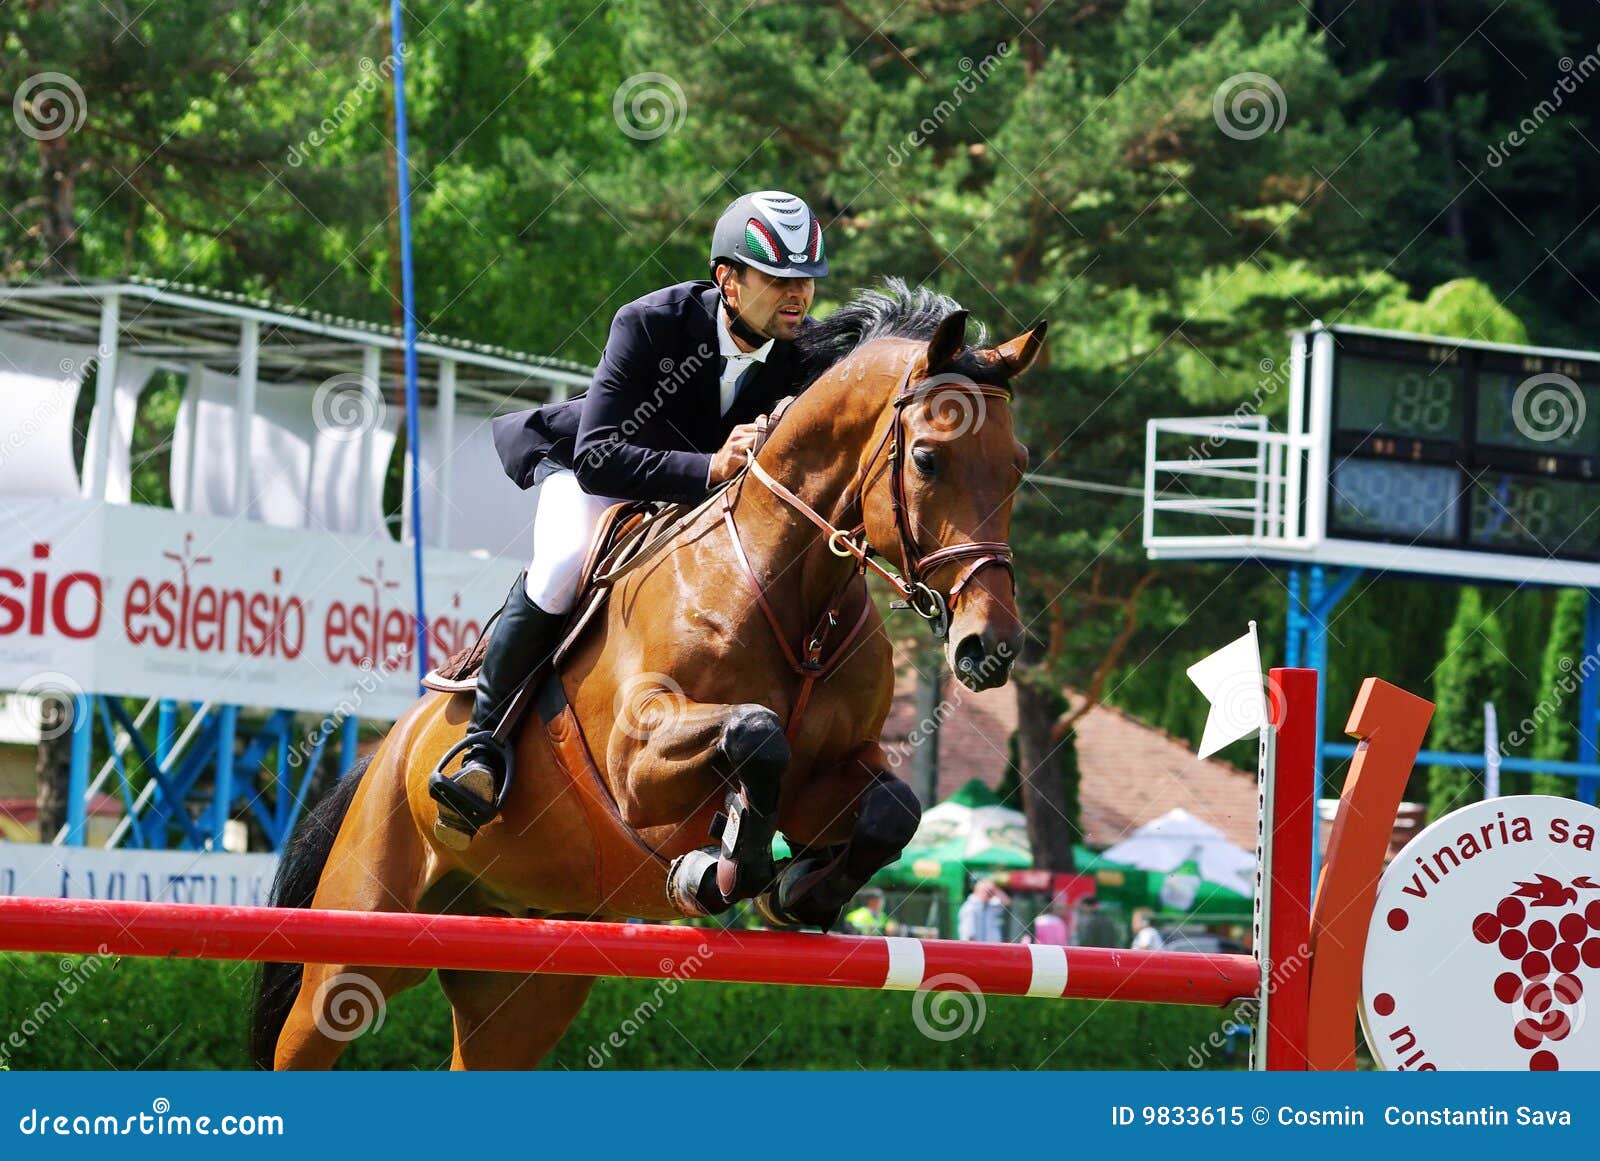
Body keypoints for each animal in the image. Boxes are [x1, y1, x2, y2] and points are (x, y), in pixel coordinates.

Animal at [251, 282, 1045, 1069]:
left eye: (1017, 465)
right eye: (928, 460)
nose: (991, 646)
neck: (790, 592)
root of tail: (386, 751)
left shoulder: (832, 772)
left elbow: (895, 809)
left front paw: (800, 893)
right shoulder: (638, 761)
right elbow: (757, 734)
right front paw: (722, 867)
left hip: (520, 983)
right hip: (352, 947)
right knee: (310, 1030)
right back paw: (475, 772)